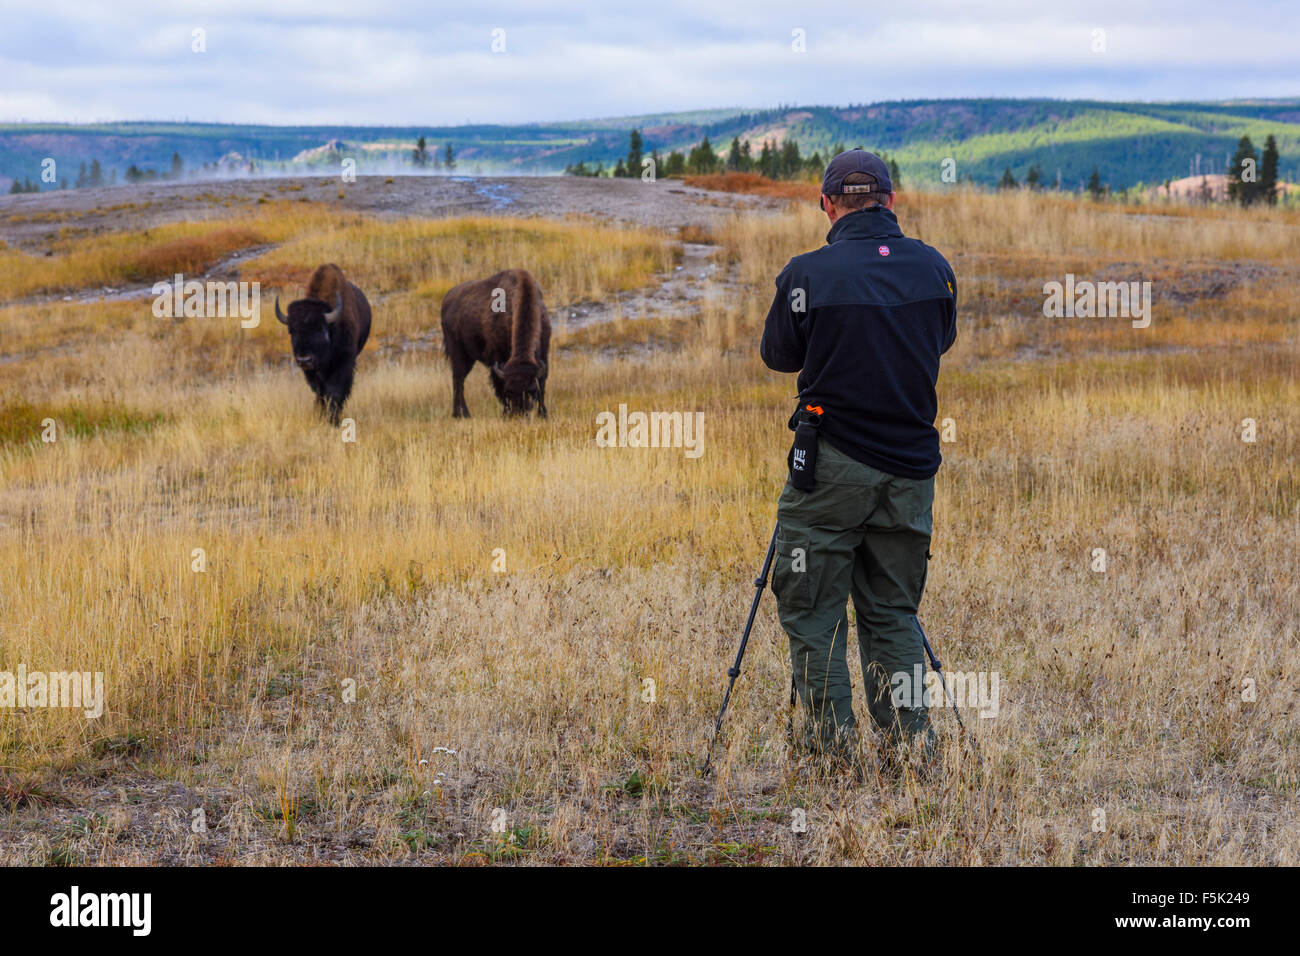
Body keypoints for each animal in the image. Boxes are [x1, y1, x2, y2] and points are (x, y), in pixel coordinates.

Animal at [276, 263, 371, 426]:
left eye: (321, 330)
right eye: (291, 331)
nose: (304, 360)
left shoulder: (344, 363)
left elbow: (335, 391)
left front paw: (333, 420)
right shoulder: (312, 373)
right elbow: (320, 391)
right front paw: (321, 414)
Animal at [441, 268, 550, 418]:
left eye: (531, 390)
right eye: (509, 391)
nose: (520, 413)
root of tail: (447, 300)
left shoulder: (543, 355)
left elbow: (542, 386)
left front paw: (543, 415)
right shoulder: (497, 360)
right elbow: (499, 387)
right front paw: (506, 414)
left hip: (470, 358)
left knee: (460, 379)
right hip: (457, 352)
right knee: (458, 380)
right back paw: (463, 414)